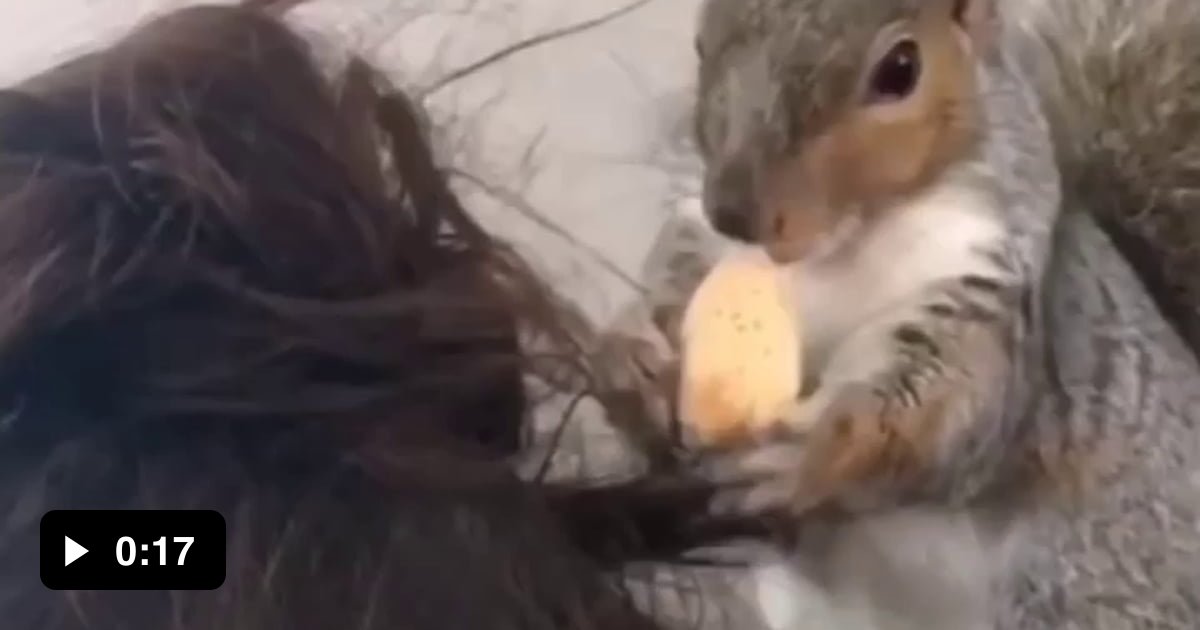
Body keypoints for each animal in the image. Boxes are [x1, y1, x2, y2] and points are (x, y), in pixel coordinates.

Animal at [601, 0, 1200, 627]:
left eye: (901, 71)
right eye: (702, 42)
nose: (734, 214)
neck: (839, 246)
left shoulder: (983, 290)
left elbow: (945, 407)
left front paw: (806, 454)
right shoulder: (698, 233)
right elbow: (670, 283)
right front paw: (631, 356)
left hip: (1073, 578)